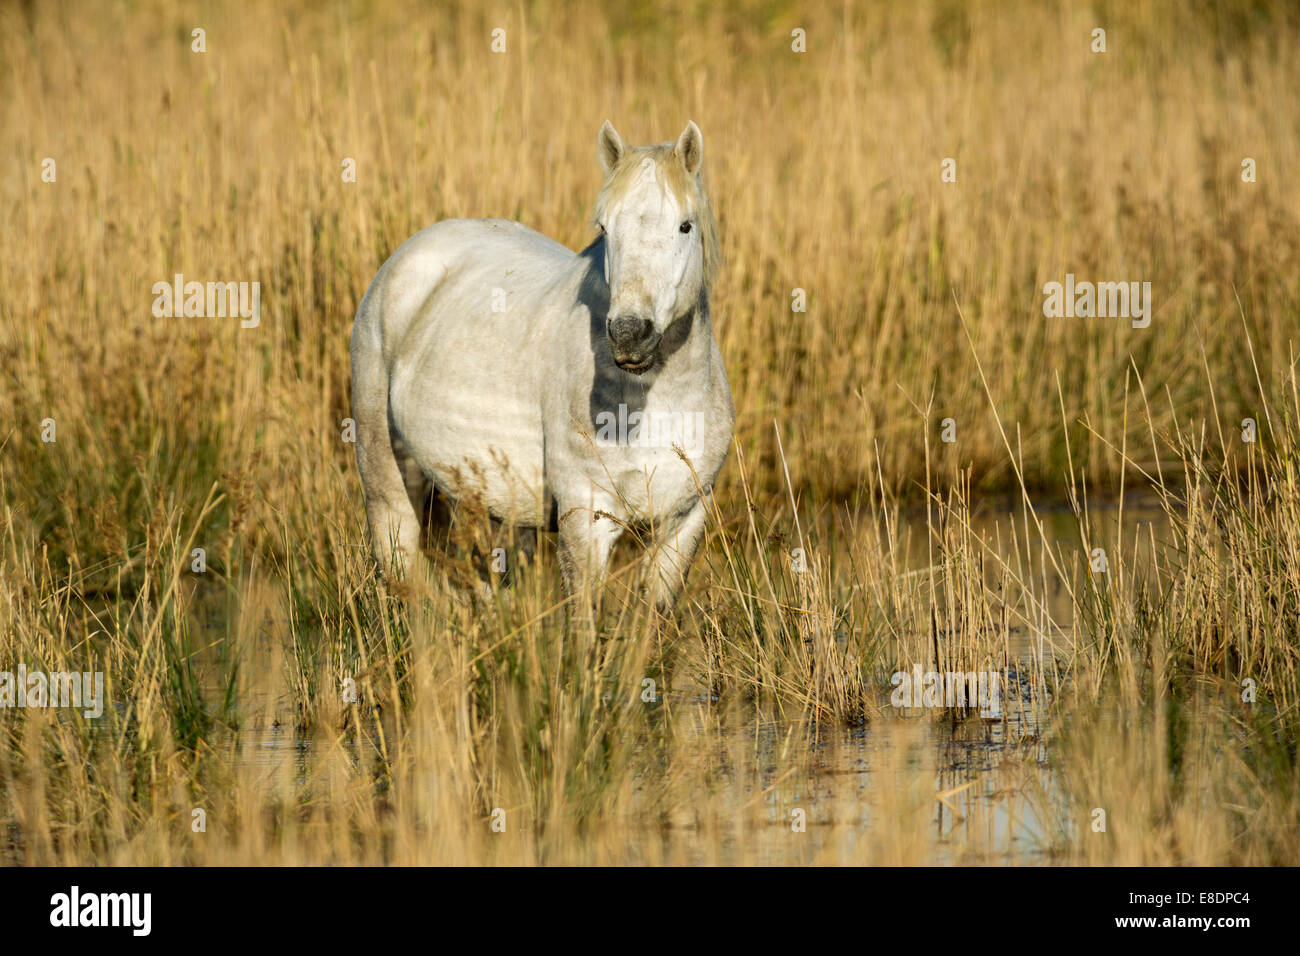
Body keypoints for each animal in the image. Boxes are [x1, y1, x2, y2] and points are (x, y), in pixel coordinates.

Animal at [349, 121, 733, 615]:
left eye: (685, 226)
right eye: (605, 227)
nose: (629, 334)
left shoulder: (683, 520)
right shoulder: (586, 518)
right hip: (384, 466)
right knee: (401, 561)